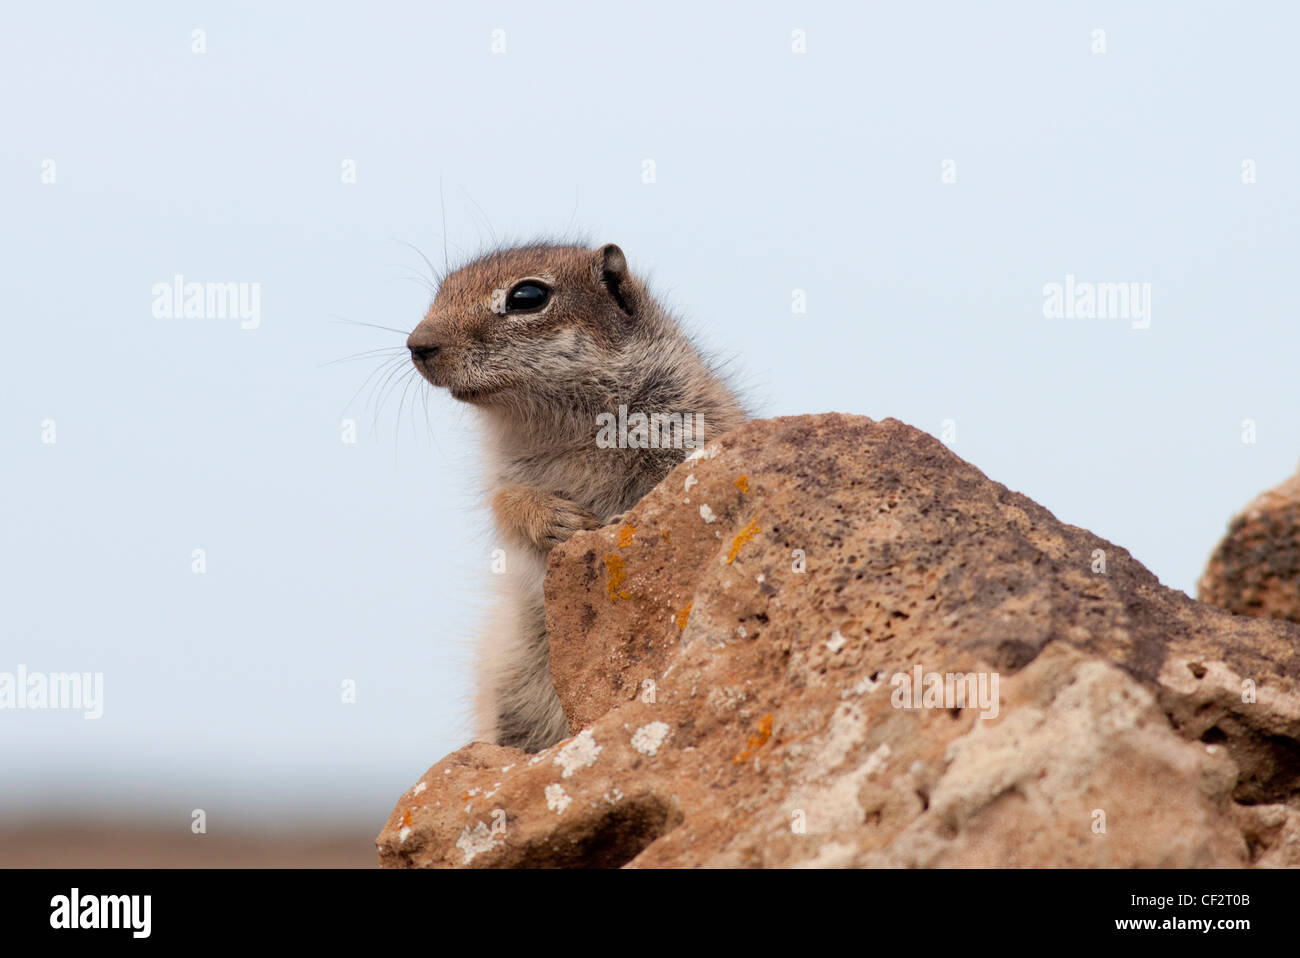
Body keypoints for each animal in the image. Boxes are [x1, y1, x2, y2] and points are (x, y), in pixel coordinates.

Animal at [407, 241, 747, 751]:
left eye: (527, 296)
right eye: (441, 290)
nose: (416, 344)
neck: (561, 425)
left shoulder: (687, 430)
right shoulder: (504, 477)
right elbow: (506, 508)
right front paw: (555, 519)